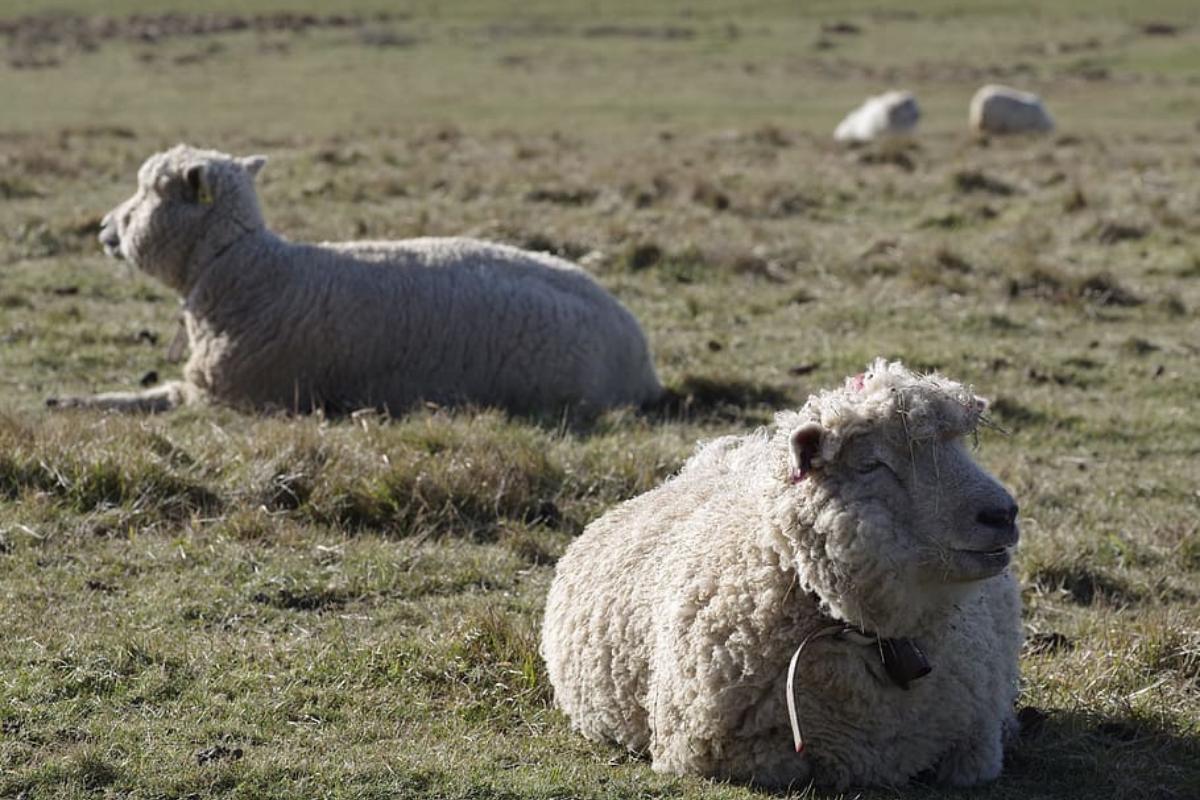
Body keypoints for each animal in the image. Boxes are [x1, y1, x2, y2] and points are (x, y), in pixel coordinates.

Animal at [48, 144, 662, 415]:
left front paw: (75, 400)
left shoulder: (226, 396)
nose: (104, 227)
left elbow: (149, 399)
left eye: (150, 192)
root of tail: (641, 352)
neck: (249, 271)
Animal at [541, 360, 1022, 789]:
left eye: (960, 448)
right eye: (871, 465)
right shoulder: (731, 753)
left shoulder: (976, 743)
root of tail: (725, 449)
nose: (1003, 514)